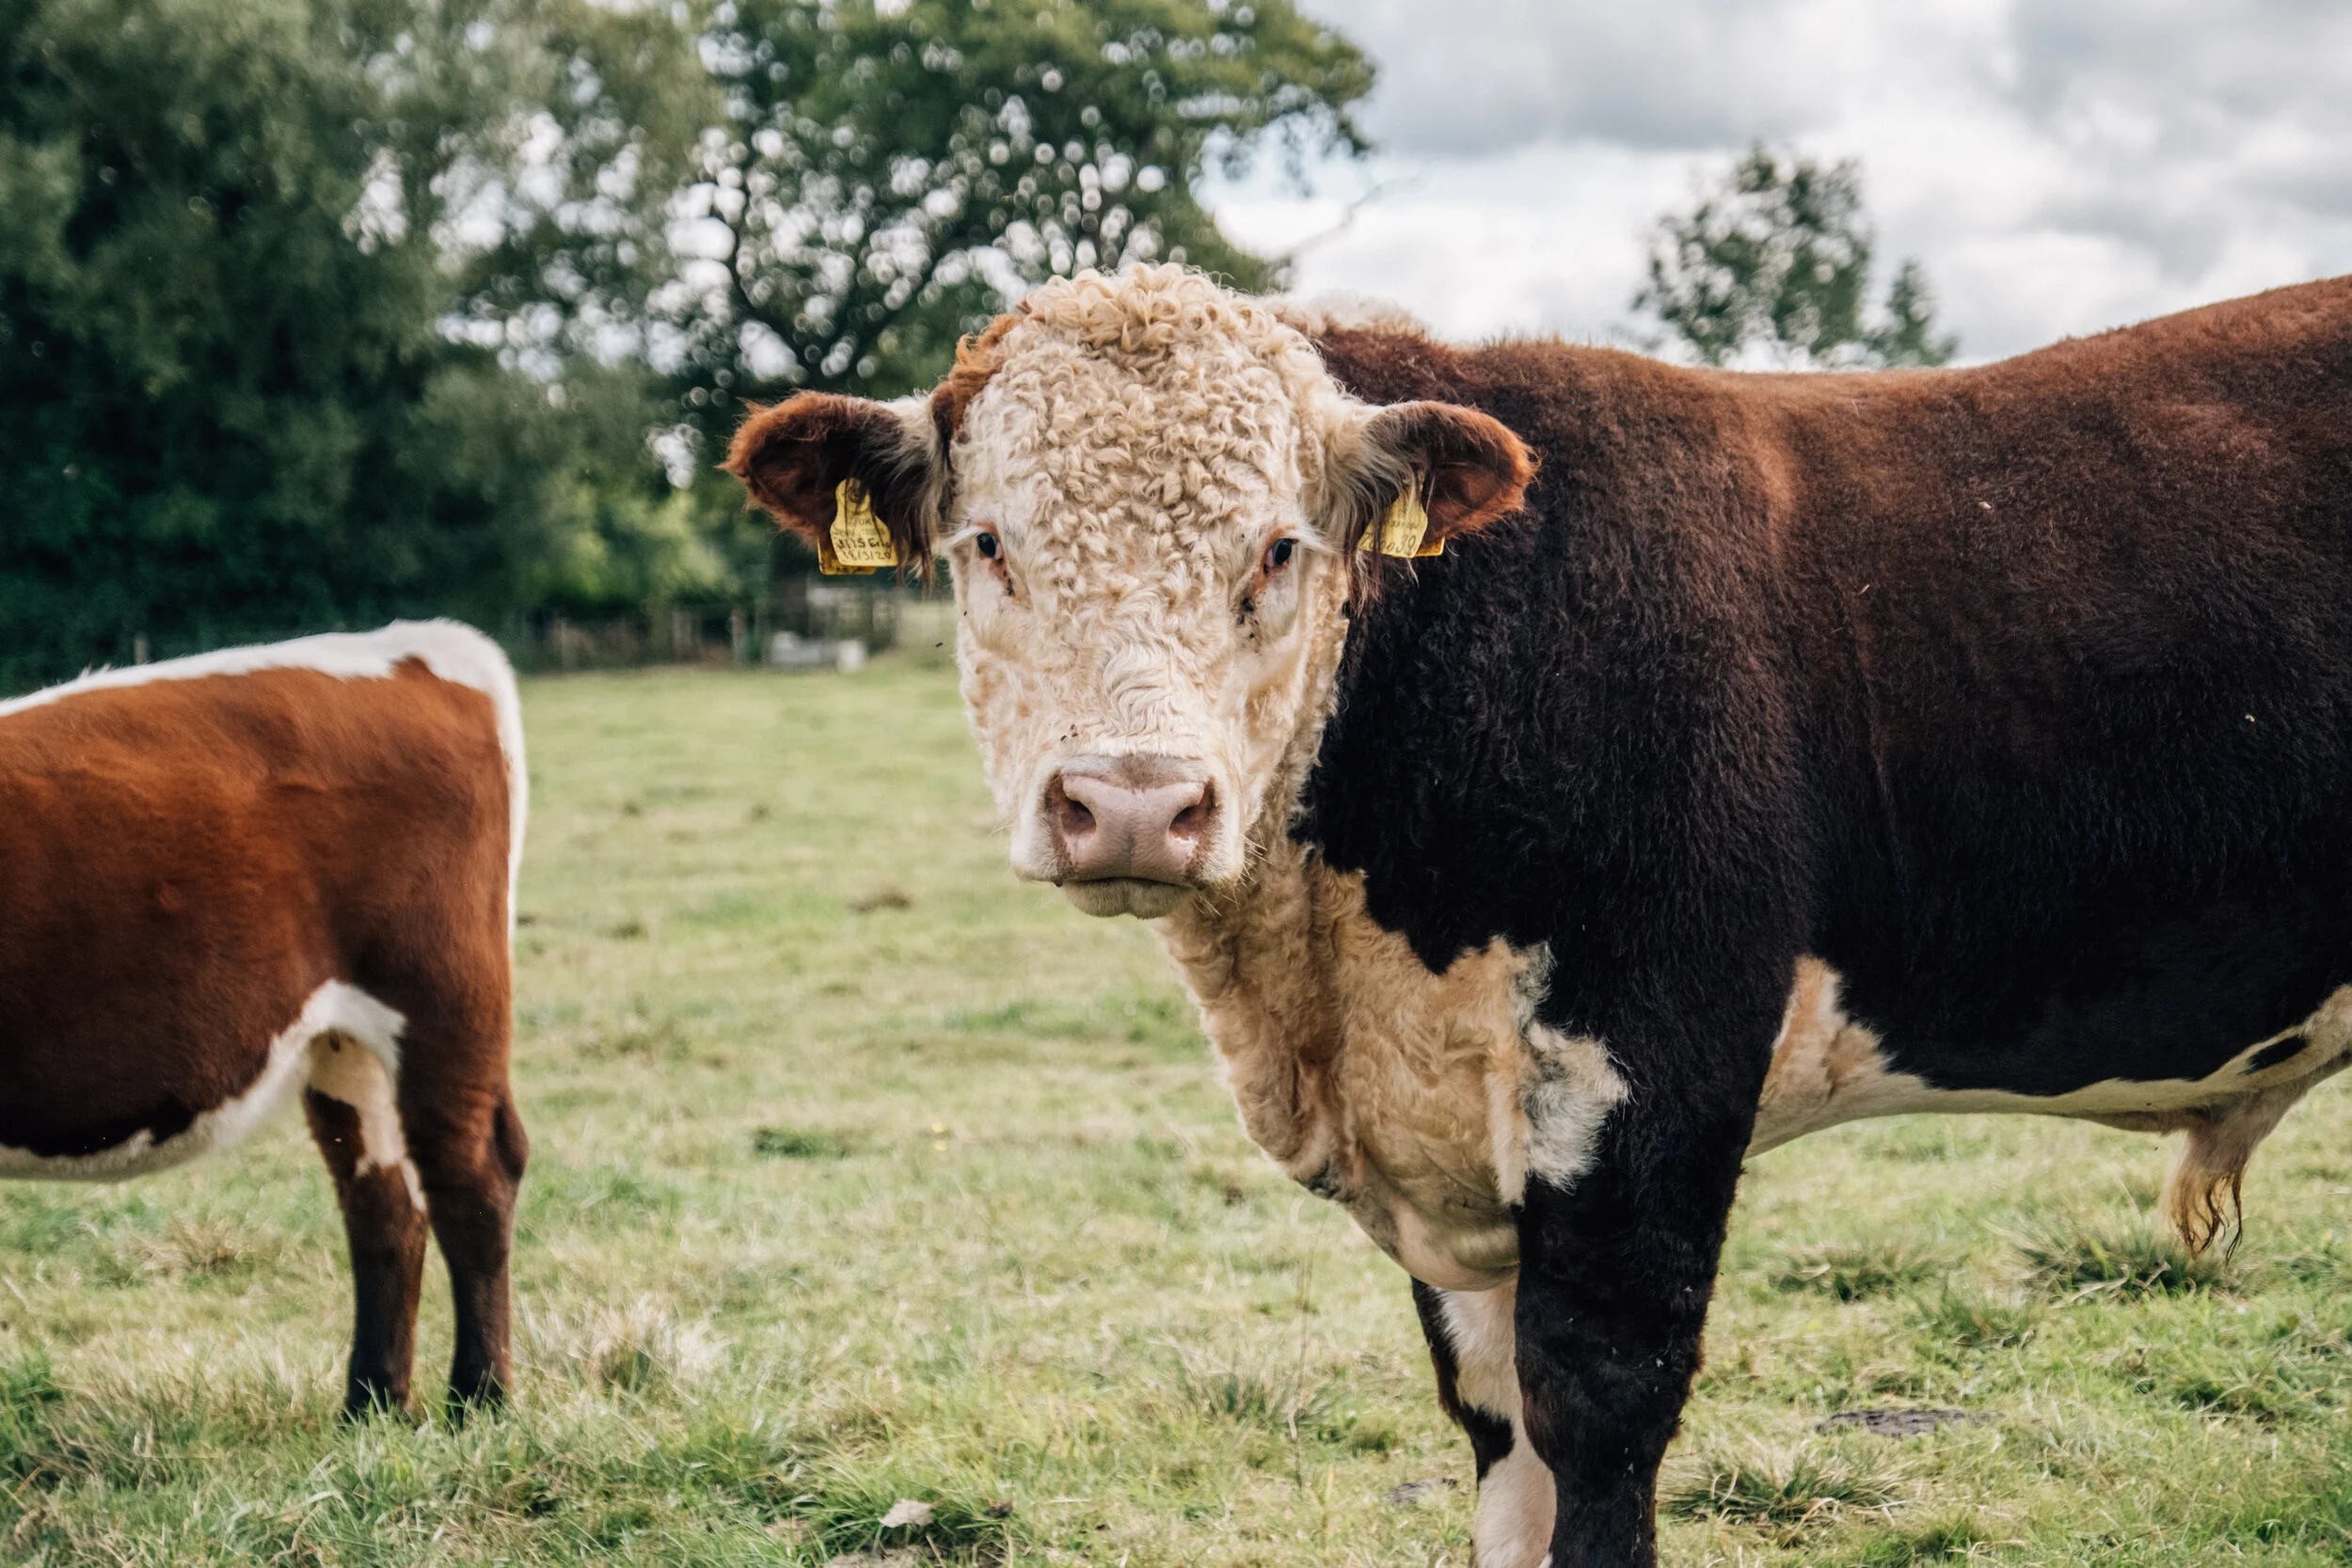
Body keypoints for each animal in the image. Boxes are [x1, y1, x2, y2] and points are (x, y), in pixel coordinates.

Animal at [0, 621, 530, 1417]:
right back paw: (373, 1403)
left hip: (445, 1001)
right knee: (383, 1201)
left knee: (471, 1179)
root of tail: (418, 646)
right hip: (345, 1042)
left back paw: (480, 1400)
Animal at [724, 265, 2352, 1567]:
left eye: (1279, 547)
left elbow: (1600, 1424)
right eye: (988, 542)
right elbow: (1501, 1433)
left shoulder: (1649, 1088)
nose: (1132, 804)